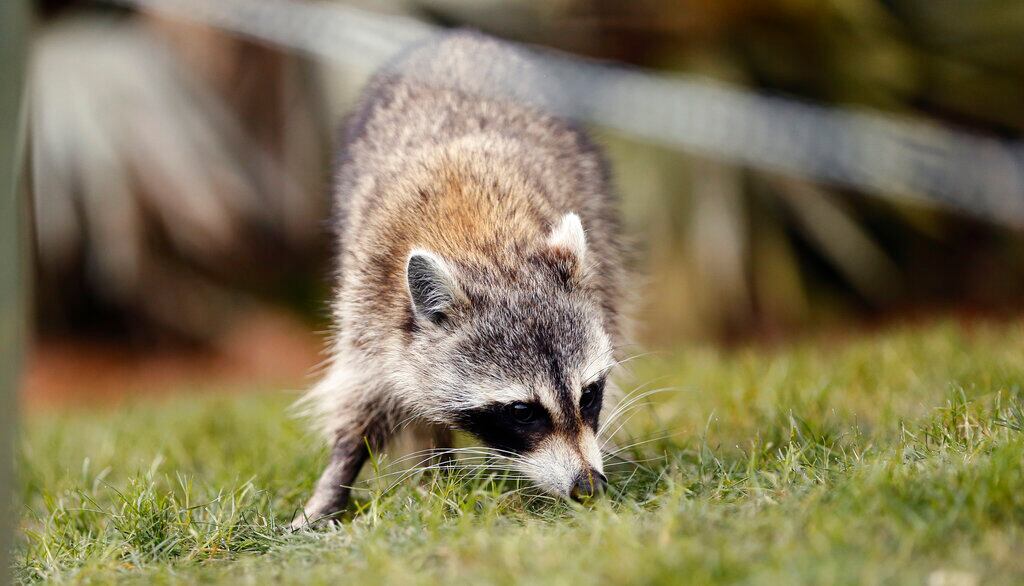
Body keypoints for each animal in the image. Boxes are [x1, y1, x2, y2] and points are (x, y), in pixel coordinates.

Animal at [293, 32, 628, 526]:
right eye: (521, 411)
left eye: (588, 395)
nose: (588, 487)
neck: (482, 242)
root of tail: (464, 38)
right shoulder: (369, 302)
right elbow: (365, 396)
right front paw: (337, 477)